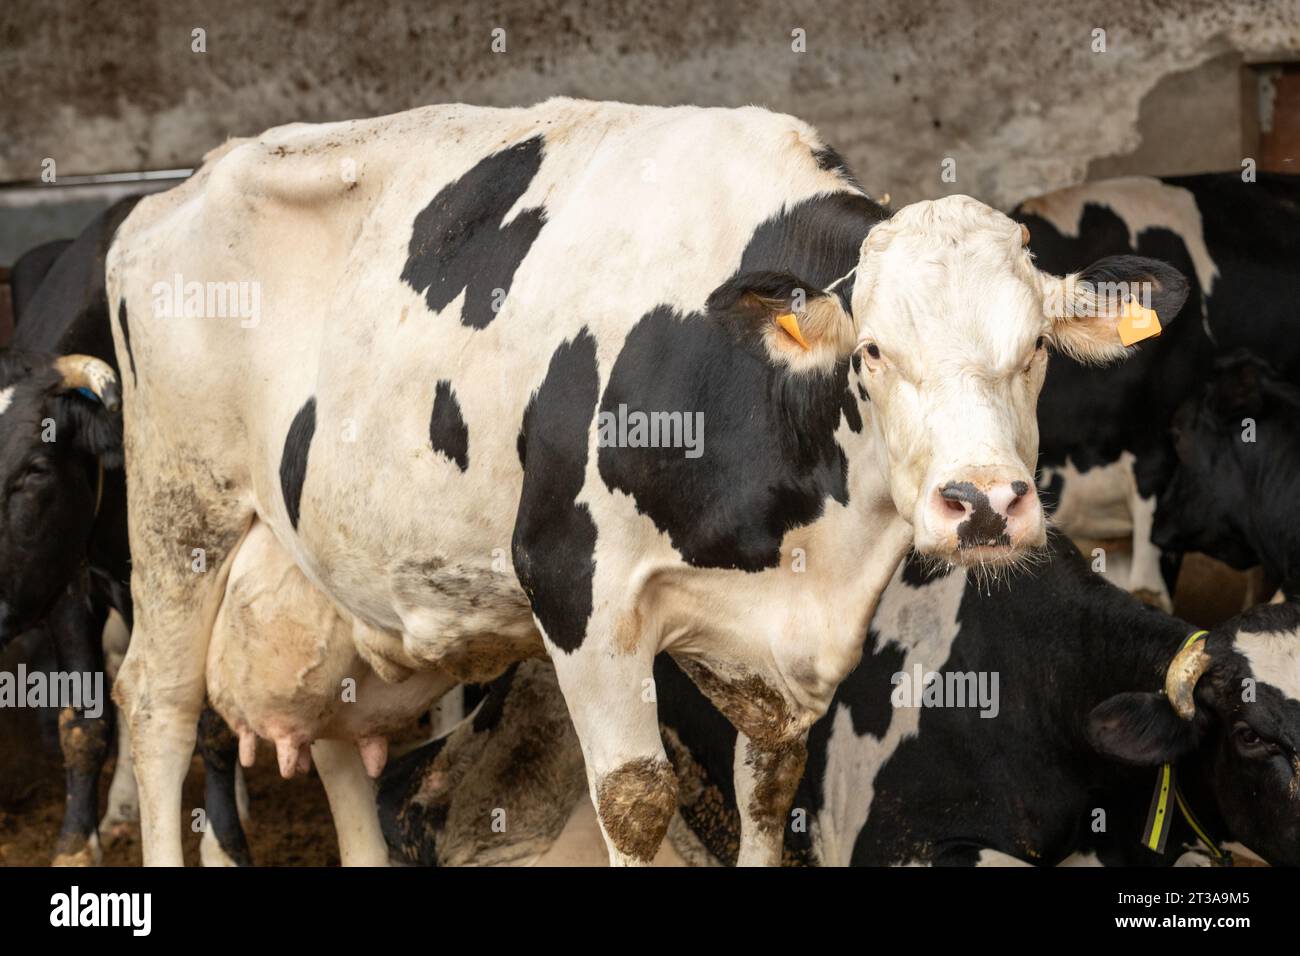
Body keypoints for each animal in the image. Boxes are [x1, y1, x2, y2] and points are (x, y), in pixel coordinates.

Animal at [107, 98, 1187, 866]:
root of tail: (178, 190)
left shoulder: (768, 641)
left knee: (329, 734)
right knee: (157, 704)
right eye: (874, 351)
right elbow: (634, 801)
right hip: (178, 509)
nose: (984, 505)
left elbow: (768, 786)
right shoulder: (577, 592)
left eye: (1035, 346)